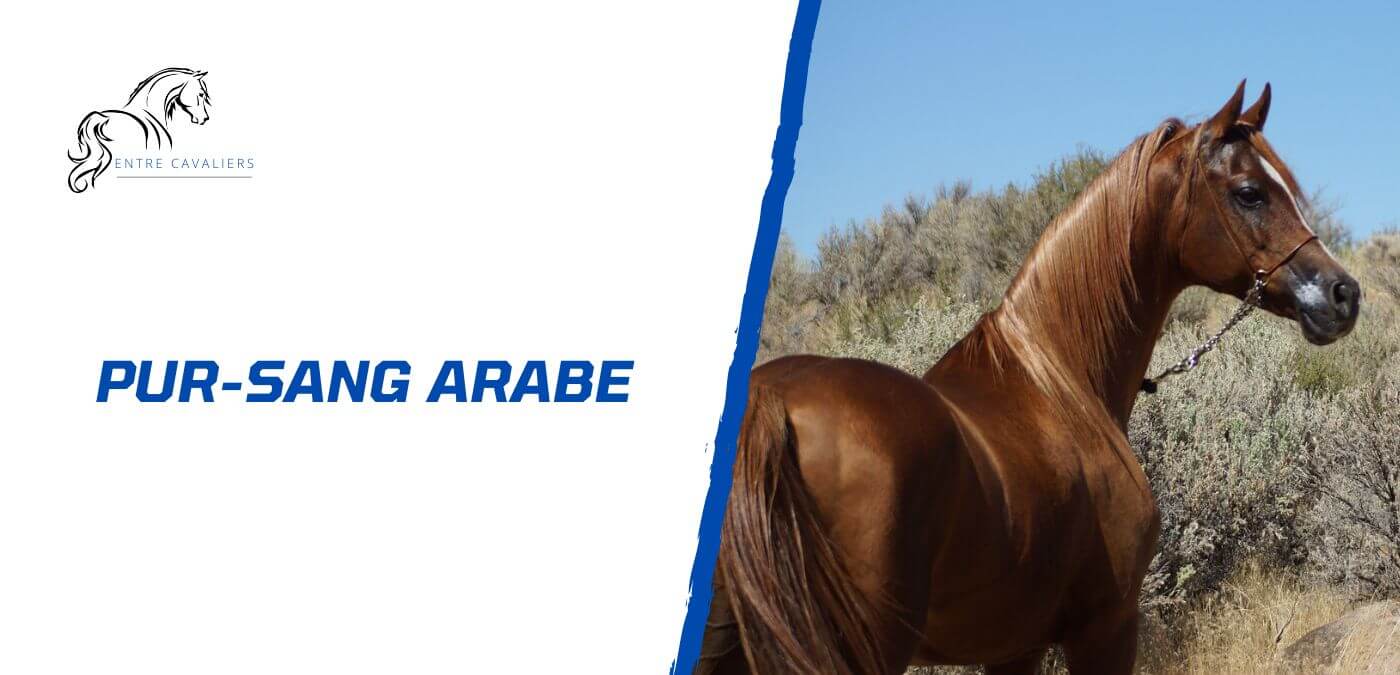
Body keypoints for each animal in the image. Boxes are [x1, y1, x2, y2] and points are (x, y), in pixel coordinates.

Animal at [698, 82, 1361, 675]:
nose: (1343, 294)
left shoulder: (1013, 648)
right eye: (1250, 193)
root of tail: (772, 404)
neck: (1059, 379)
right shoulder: (1106, 627)